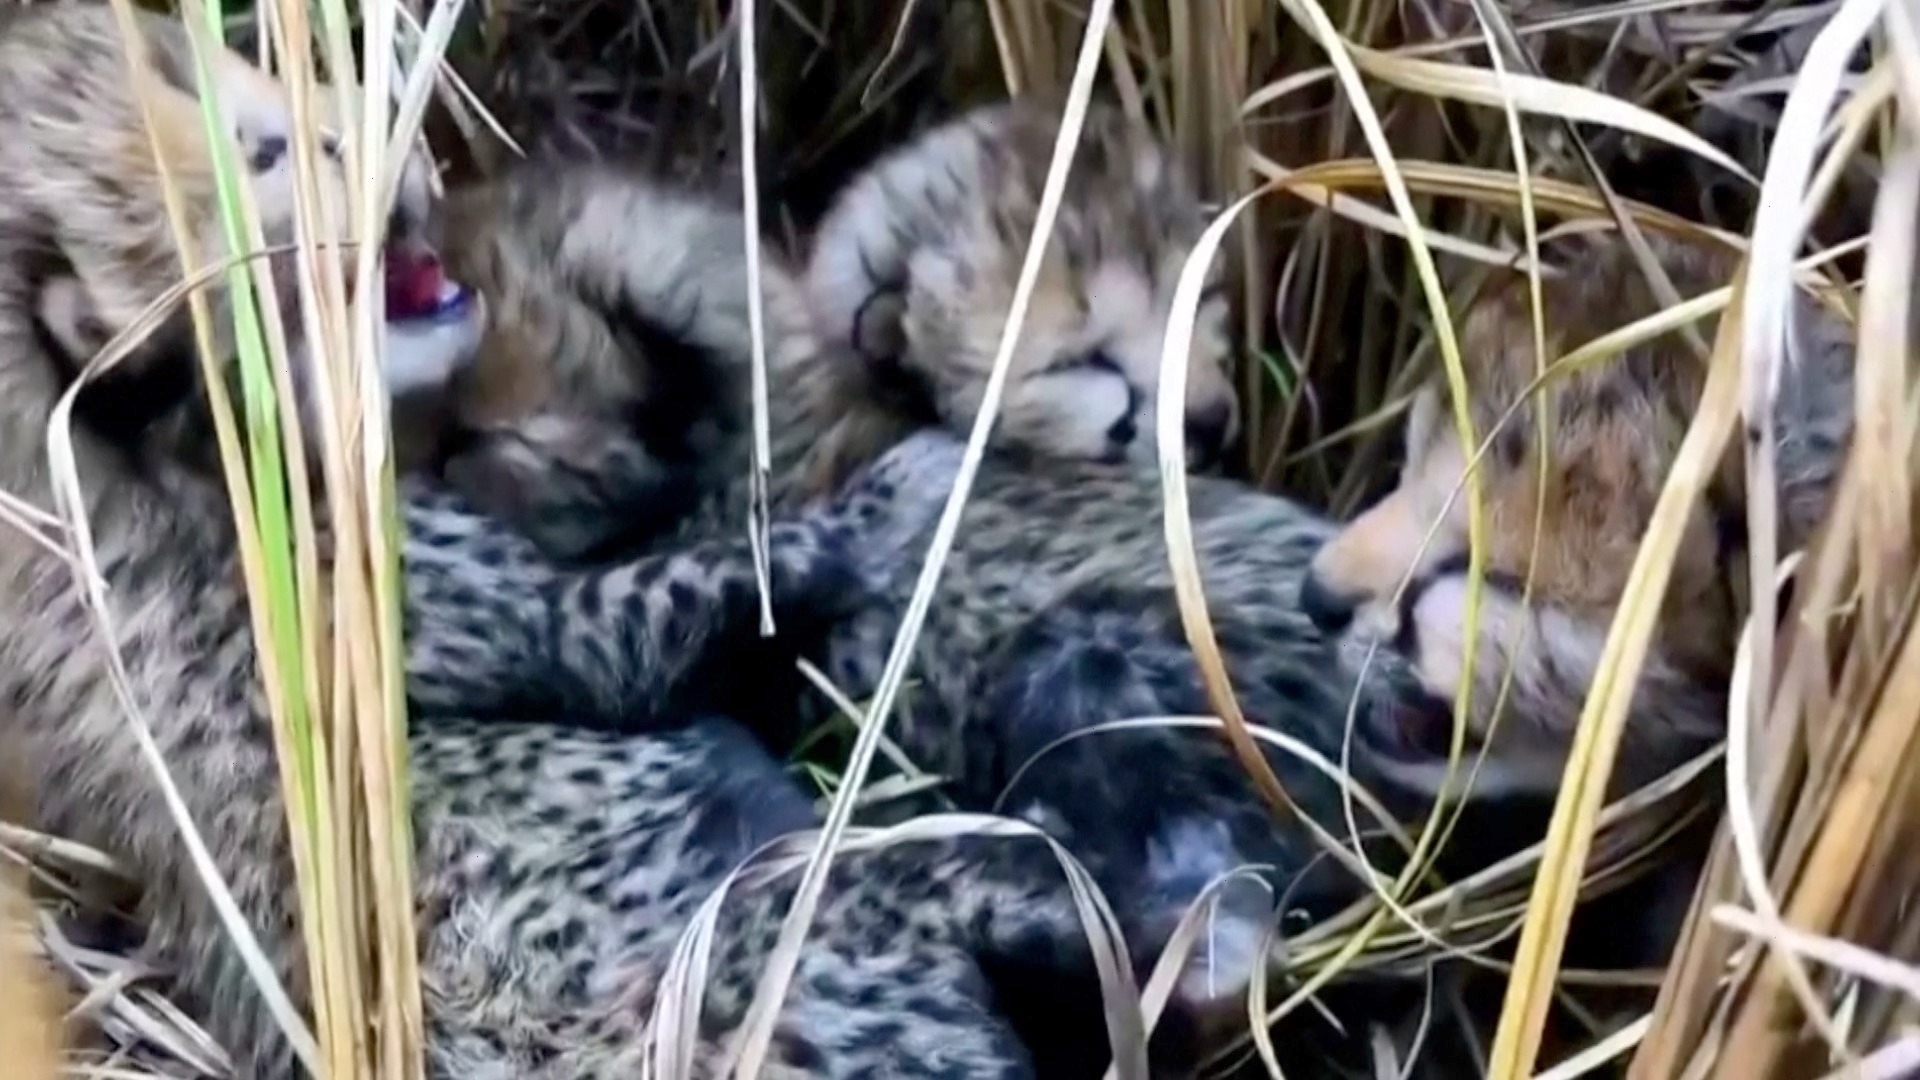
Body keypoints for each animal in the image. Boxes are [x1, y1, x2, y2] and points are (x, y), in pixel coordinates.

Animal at [0, 6, 1187, 1078]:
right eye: (261, 155)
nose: (383, 136)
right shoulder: (504, 624)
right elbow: (703, 580)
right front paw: (905, 485)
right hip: (825, 897)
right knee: (1019, 889)